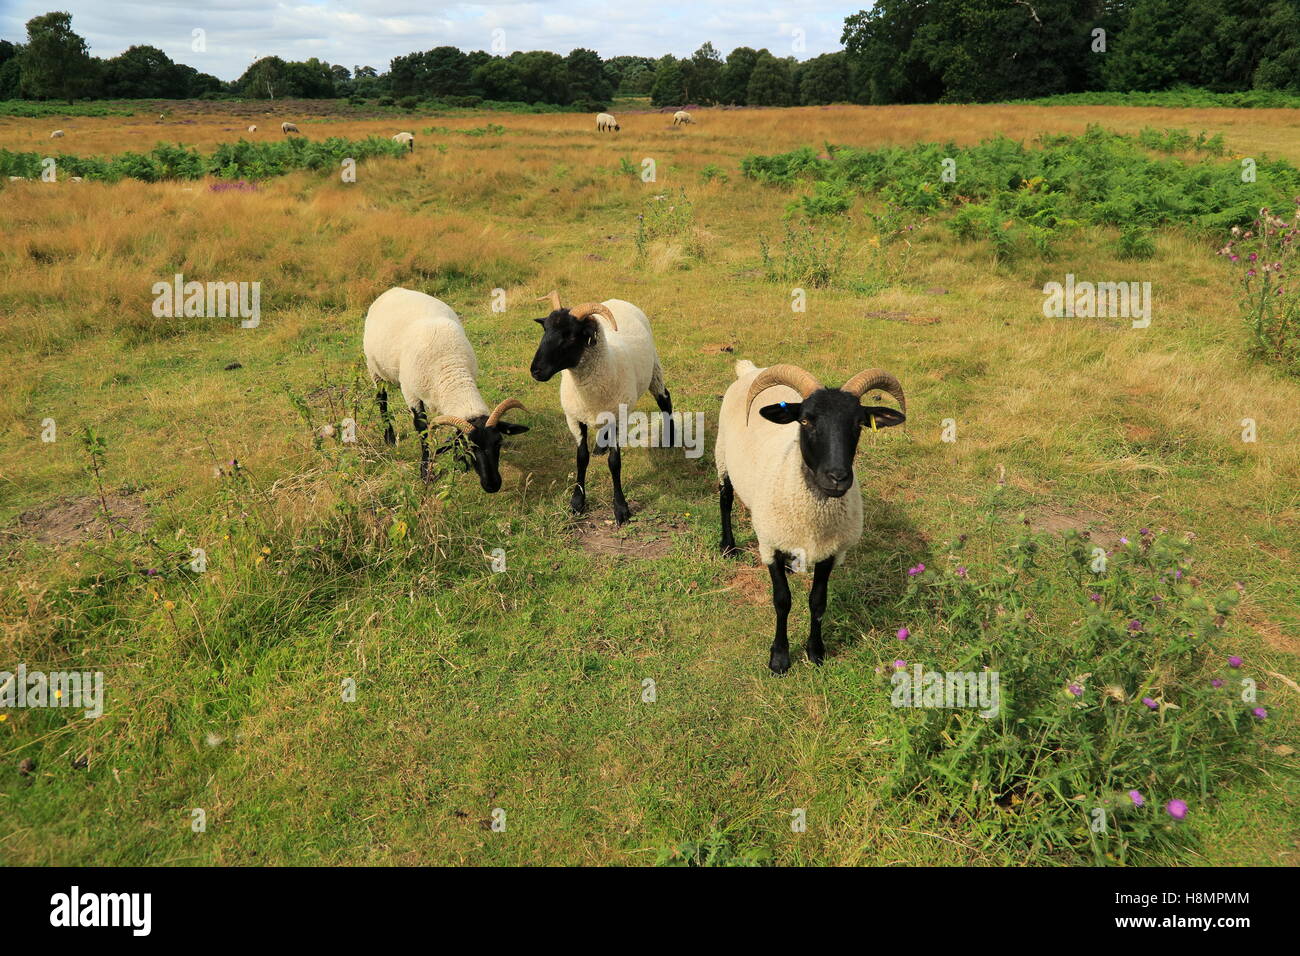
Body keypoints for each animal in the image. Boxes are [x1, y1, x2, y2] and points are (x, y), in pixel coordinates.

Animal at [363, 287, 529, 491]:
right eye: (469, 446)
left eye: (499, 443)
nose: (492, 485)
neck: (450, 367)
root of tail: (393, 289)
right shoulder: (410, 393)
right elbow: (422, 430)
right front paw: (425, 471)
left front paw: (460, 462)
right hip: (374, 369)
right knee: (382, 399)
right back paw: (389, 437)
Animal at [529, 290, 672, 525]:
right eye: (545, 329)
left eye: (570, 335)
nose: (535, 370)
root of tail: (617, 300)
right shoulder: (574, 418)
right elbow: (581, 458)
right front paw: (577, 501)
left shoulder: (619, 417)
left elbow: (614, 463)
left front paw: (621, 507)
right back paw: (599, 446)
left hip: (654, 369)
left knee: (665, 399)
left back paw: (670, 438)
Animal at [715, 360, 907, 674]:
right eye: (805, 421)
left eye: (858, 423)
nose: (838, 478)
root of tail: (751, 369)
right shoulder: (769, 544)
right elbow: (782, 601)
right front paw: (779, 658)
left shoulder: (832, 551)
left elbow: (818, 602)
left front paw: (816, 651)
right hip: (722, 458)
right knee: (725, 498)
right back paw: (728, 546)